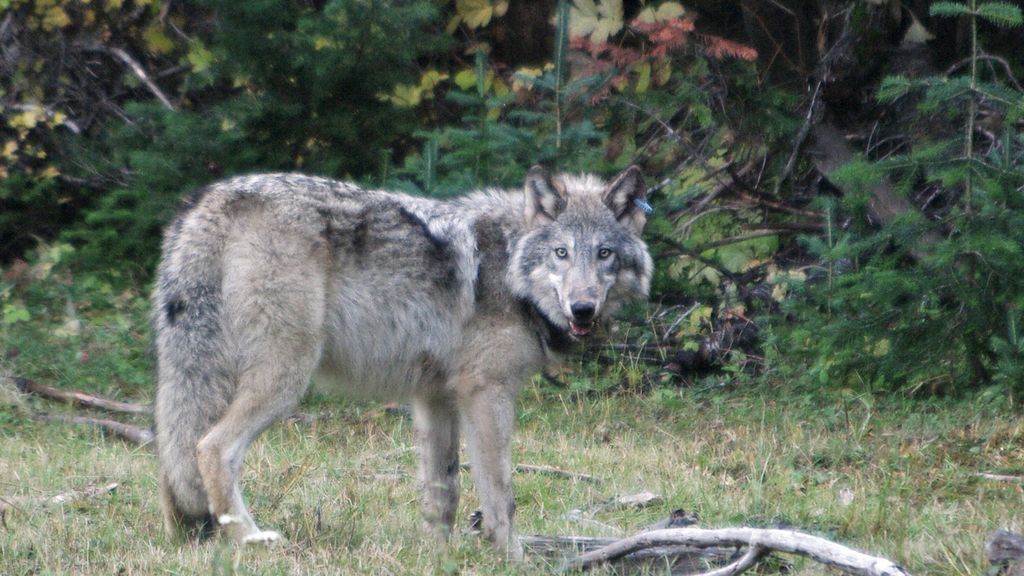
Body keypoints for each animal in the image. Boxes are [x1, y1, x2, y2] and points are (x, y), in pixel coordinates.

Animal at [152, 165, 653, 557]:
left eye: (604, 254)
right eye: (561, 253)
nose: (582, 309)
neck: (510, 268)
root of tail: (215, 196)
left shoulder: (435, 397)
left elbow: (443, 491)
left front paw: (438, 557)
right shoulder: (485, 393)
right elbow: (500, 497)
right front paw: (513, 560)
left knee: (174, 452)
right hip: (286, 380)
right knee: (211, 448)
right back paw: (251, 540)